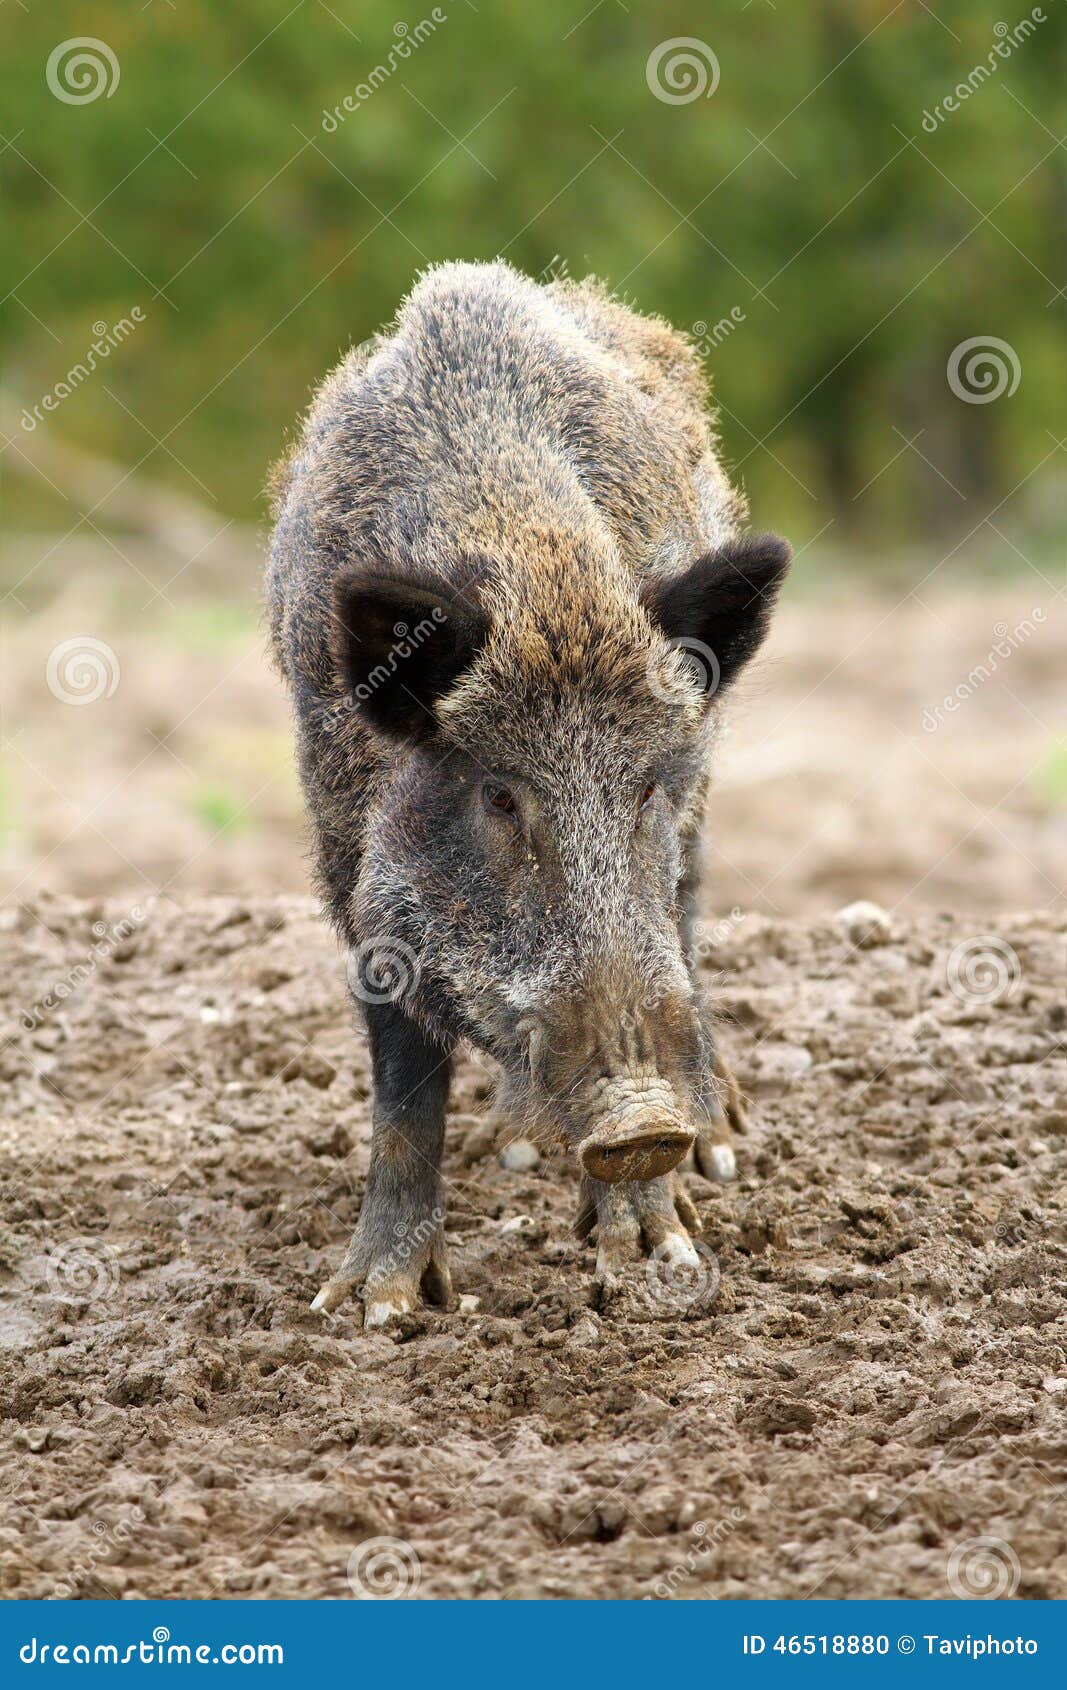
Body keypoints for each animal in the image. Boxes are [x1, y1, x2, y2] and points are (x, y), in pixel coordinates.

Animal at [267, 261, 790, 1326]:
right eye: (500, 797)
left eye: (645, 786)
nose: (643, 1121)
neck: (542, 576)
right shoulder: (351, 862)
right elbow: (403, 1084)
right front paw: (367, 1308)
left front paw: (656, 1257)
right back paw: (512, 1148)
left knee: (686, 918)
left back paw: (715, 1146)